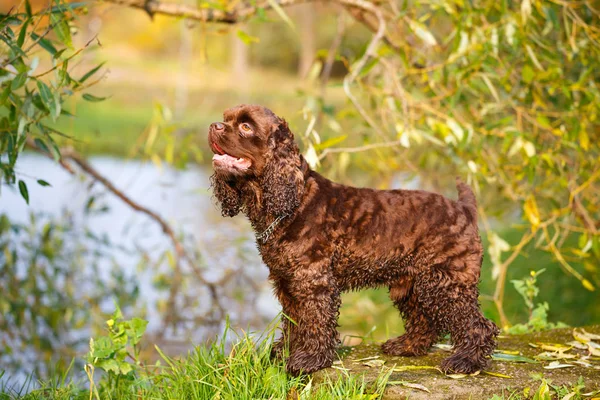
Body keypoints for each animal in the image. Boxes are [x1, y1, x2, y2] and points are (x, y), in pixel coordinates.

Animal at [209, 103, 500, 376]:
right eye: (225, 119)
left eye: (246, 126)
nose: (214, 126)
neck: (293, 201)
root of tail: (464, 208)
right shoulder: (286, 282)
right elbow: (294, 322)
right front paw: (283, 353)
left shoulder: (313, 281)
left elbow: (315, 321)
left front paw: (308, 360)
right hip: (414, 284)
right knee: (425, 321)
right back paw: (406, 346)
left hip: (447, 281)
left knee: (479, 325)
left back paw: (465, 361)